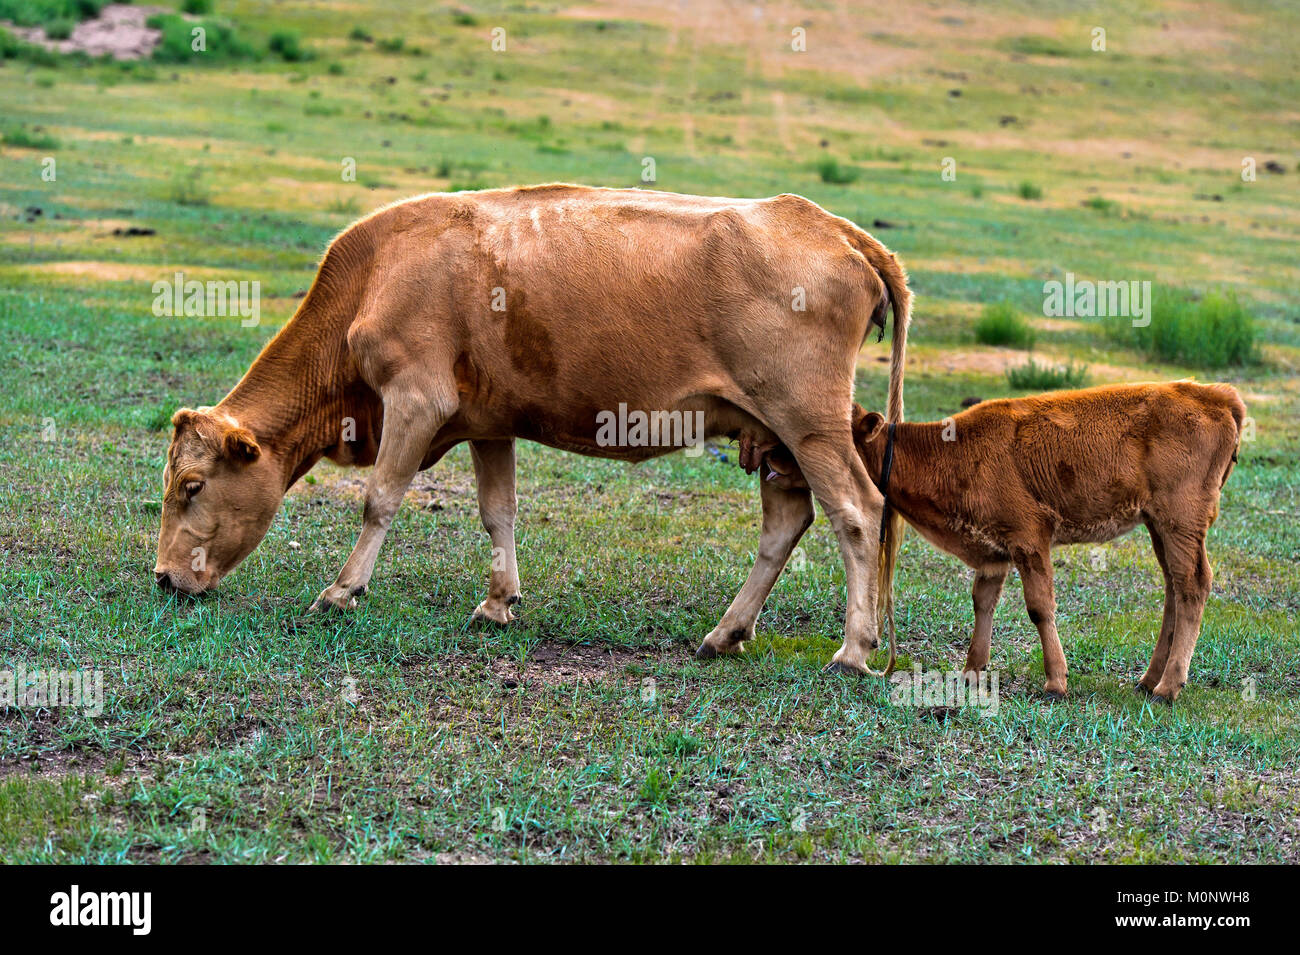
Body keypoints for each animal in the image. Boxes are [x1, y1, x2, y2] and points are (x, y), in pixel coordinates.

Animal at [154, 185, 911, 673]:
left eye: (191, 485)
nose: (161, 577)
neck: (373, 275)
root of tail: (832, 226)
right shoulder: (487, 419)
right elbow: (498, 511)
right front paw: (498, 603)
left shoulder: (415, 398)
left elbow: (380, 498)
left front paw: (341, 592)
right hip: (777, 435)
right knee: (784, 523)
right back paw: (725, 633)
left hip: (807, 421)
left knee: (857, 509)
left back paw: (853, 650)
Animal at [759, 382, 1246, 701]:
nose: (771, 456)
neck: (949, 452)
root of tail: (1214, 394)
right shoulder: (993, 551)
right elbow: (983, 600)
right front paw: (972, 671)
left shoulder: (1029, 538)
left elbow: (1039, 607)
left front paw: (1055, 681)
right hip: (1160, 525)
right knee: (1173, 588)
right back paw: (1148, 680)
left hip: (1181, 520)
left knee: (1192, 585)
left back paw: (1168, 686)